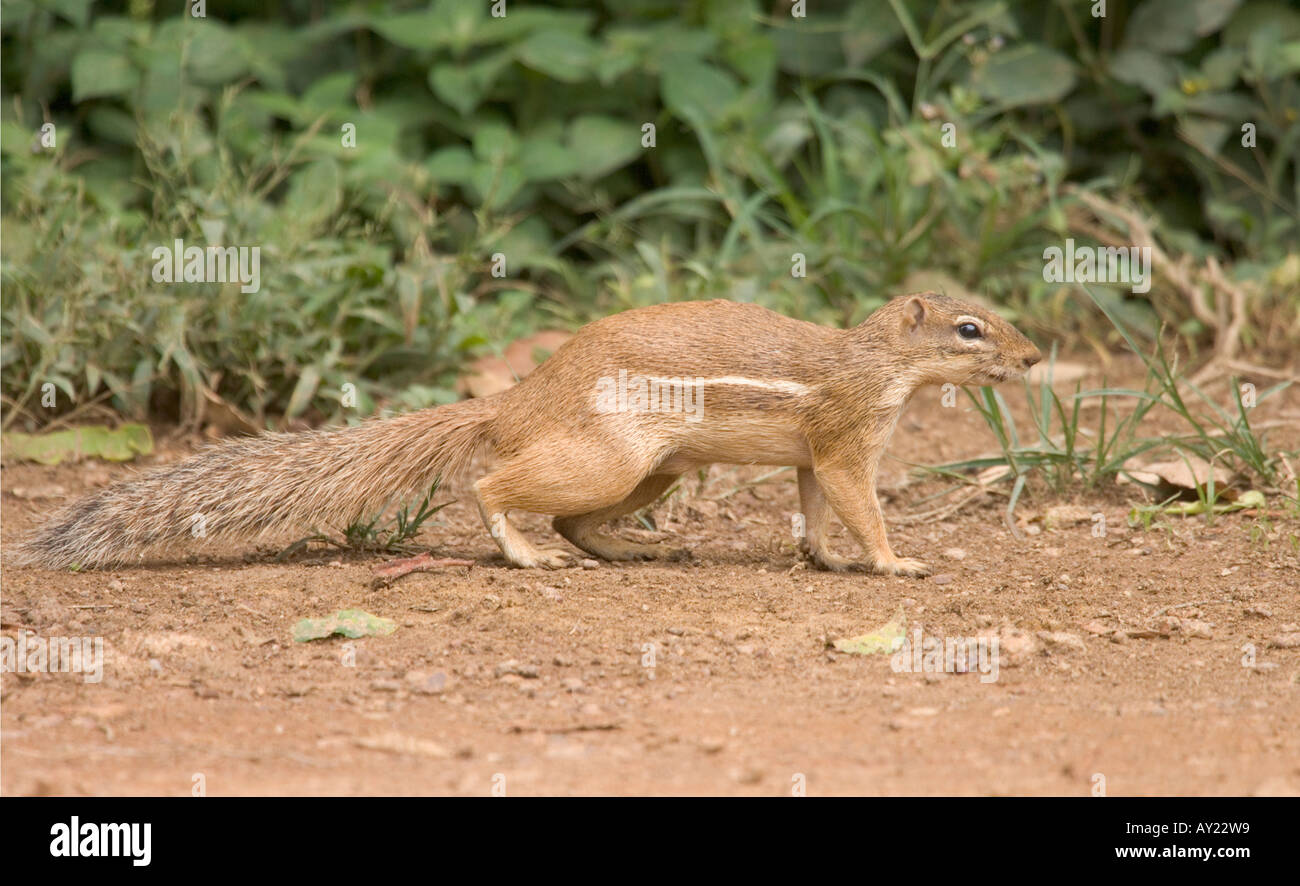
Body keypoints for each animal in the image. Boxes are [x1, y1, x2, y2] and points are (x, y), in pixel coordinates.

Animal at [17, 292, 1040, 575]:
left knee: (581, 522)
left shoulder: (814, 455)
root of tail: (510, 404)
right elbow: (860, 507)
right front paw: (897, 563)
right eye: (970, 329)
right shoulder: (843, 440)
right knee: (497, 491)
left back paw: (635, 548)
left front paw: (825, 558)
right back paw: (526, 554)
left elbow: (816, 511)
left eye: (996, 317)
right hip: (609, 458)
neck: (878, 363)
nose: (1035, 359)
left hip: (656, 471)